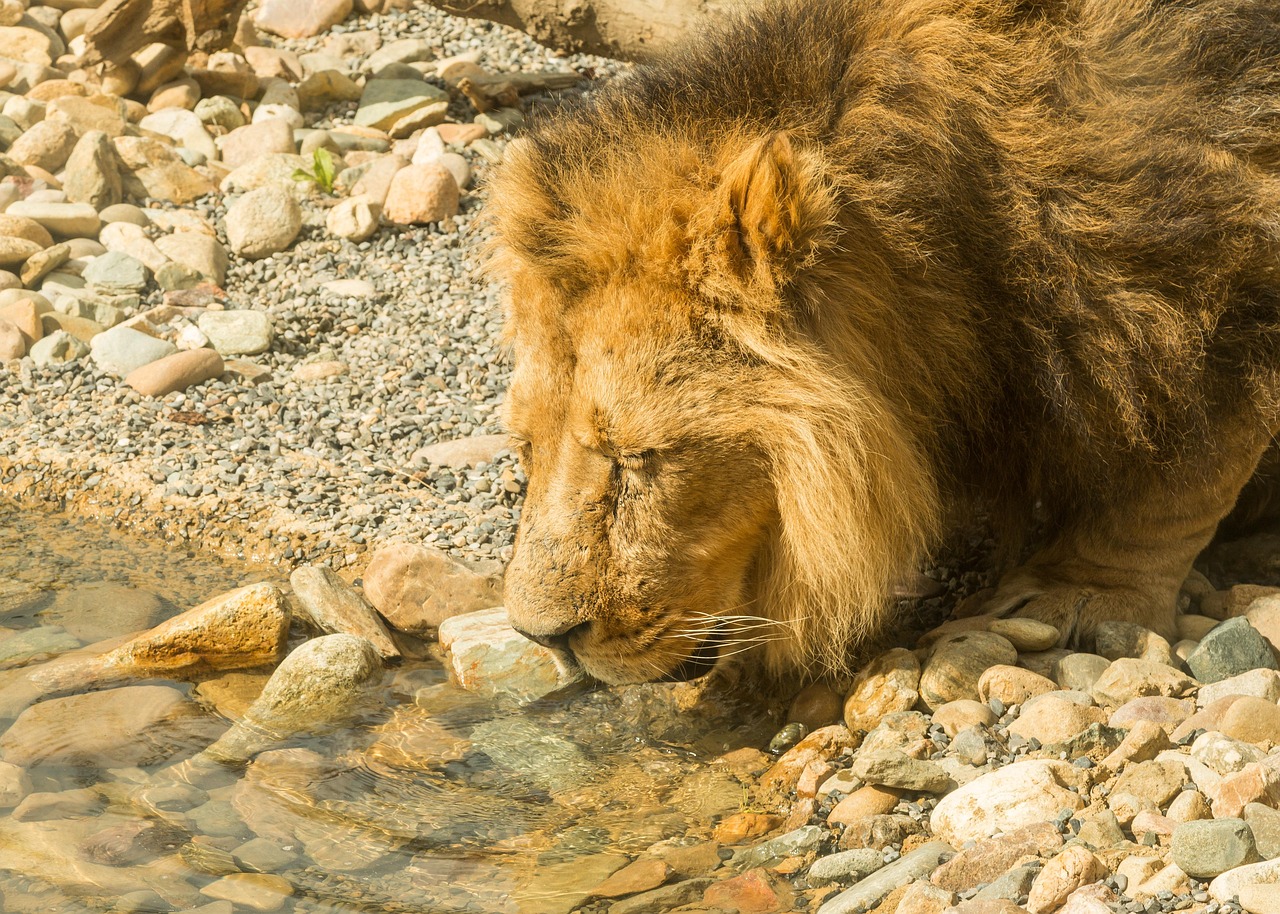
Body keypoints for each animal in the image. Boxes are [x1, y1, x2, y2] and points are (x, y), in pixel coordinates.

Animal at [486, 0, 1280, 685]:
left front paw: (1081, 595)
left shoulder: (1215, 289)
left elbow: (1178, 478)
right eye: (524, 448)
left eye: (638, 460)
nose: (540, 637)